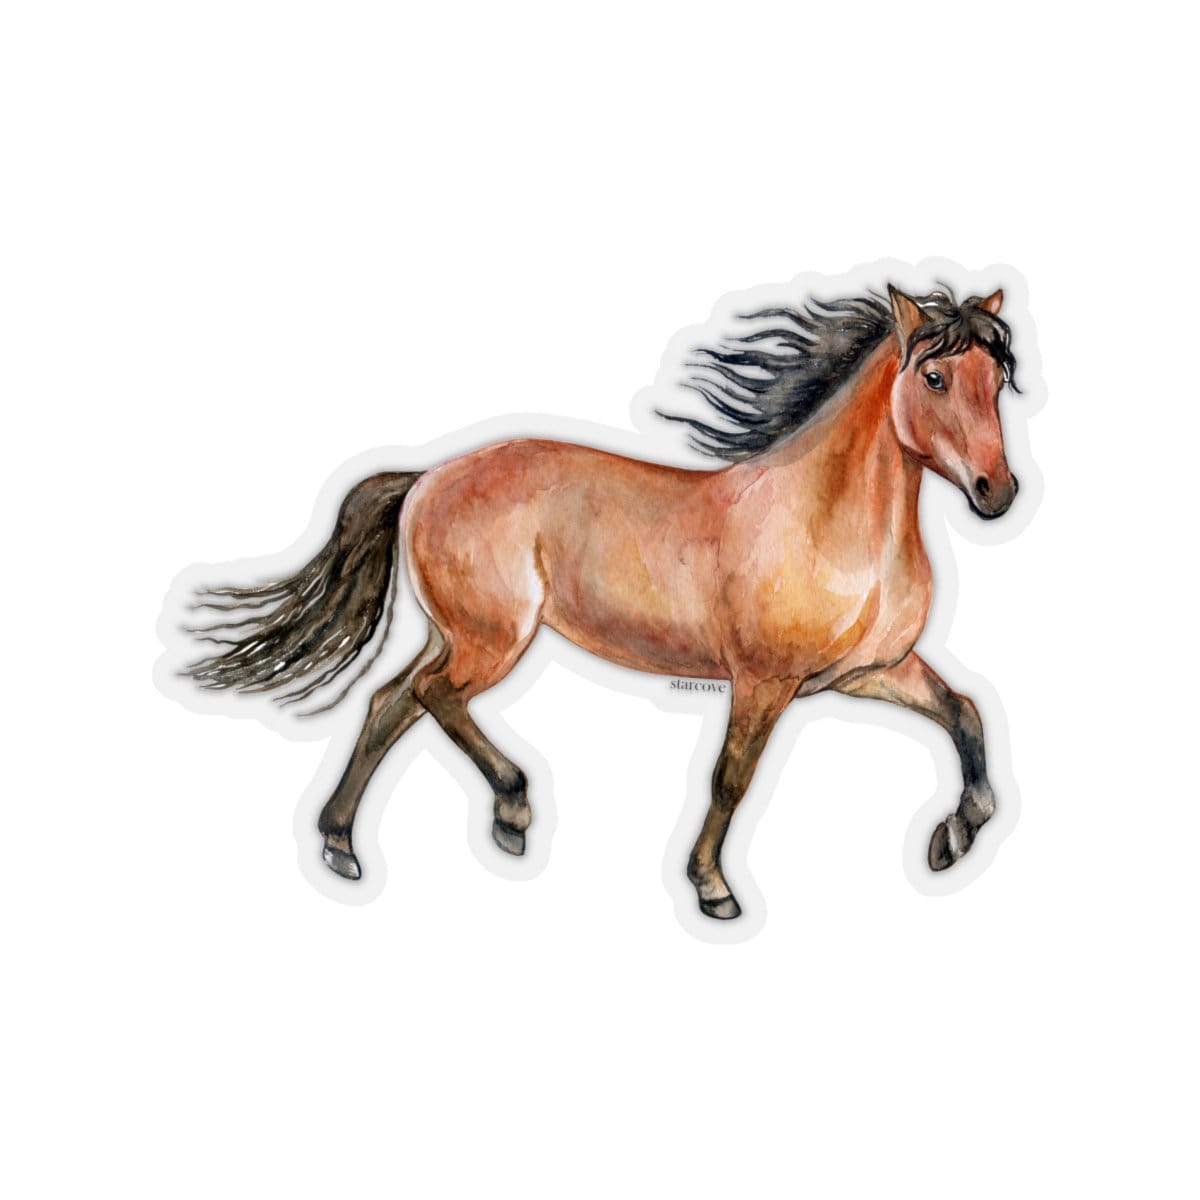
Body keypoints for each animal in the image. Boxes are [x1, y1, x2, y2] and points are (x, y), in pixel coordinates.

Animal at [184, 284, 1021, 920]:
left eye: (997, 381)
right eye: (936, 380)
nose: (999, 492)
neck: (828, 520)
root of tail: (424, 479)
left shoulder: (871, 672)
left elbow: (965, 714)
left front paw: (953, 837)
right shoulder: (763, 682)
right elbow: (731, 779)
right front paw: (712, 890)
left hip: (457, 634)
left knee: (391, 702)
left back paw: (340, 844)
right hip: (491, 640)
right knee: (430, 696)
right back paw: (512, 811)